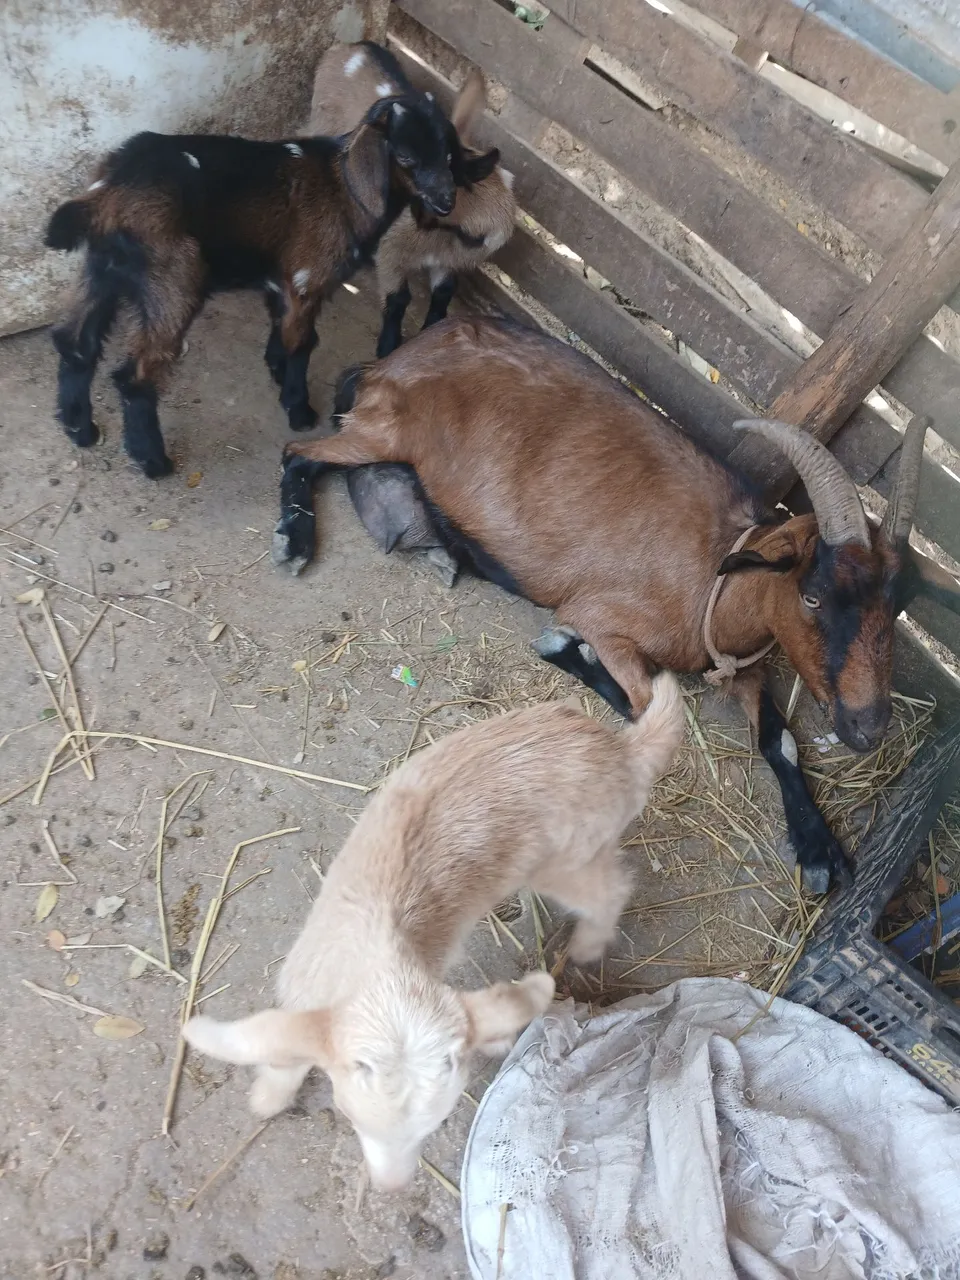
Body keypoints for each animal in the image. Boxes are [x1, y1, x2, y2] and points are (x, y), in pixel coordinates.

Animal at [43, 90, 481, 478]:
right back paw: (153, 462)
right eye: (405, 156)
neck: (343, 189)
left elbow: (282, 331)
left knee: (74, 343)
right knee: (134, 377)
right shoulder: (307, 277)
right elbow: (303, 343)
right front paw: (299, 409)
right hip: (172, 280)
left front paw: (276, 369)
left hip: (103, 271)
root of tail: (108, 193)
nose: (446, 201)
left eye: (447, 154)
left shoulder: (283, 280)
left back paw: (80, 429)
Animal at [182, 671, 684, 1191]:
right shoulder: (307, 990)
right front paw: (268, 1097)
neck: (383, 963)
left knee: (611, 889)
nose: (390, 1186)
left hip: (568, 858)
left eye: (436, 1125)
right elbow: (279, 1049)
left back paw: (586, 946)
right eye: (352, 1120)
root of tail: (623, 752)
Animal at [273, 315, 960, 895]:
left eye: (896, 609)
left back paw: (429, 539)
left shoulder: (748, 665)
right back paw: (299, 539)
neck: (712, 581)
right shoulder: (603, 618)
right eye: (813, 595)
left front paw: (821, 852)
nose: (868, 728)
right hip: (387, 428)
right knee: (300, 453)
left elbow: (781, 741)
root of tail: (404, 352)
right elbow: (639, 699)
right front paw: (561, 647)